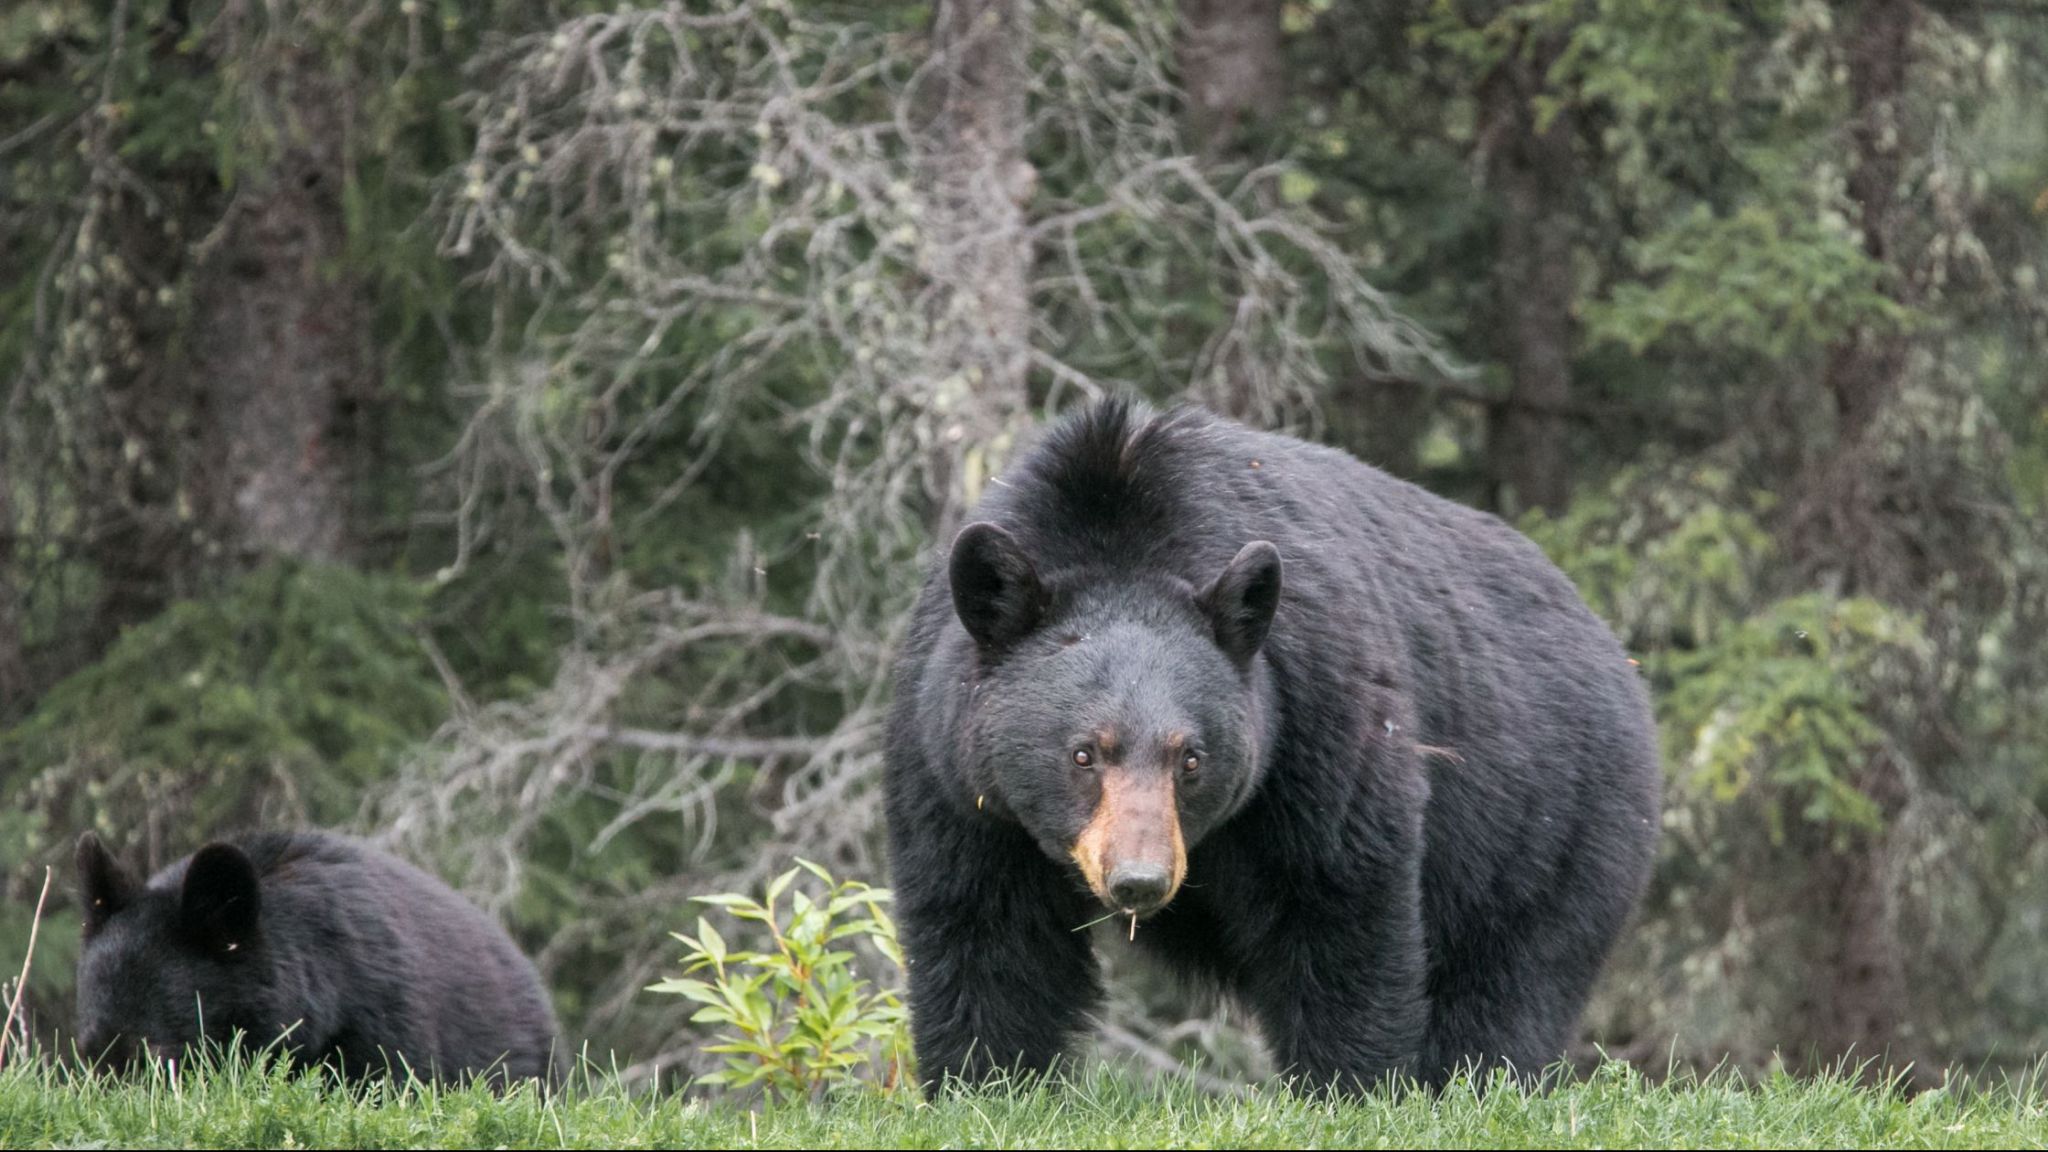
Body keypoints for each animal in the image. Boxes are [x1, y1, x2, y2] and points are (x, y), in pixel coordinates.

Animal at [883, 398, 1660, 1093]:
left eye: (1190, 758)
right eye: (1084, 754)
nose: (1139, 880)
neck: (1119, 518)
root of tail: (1615, 652)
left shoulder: (1316, 709)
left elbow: (1337, 900)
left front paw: (1348, 1087)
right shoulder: (950, 760)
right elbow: (987, 926)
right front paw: (985, 1082)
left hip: (1553, 826)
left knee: (1511, 984)